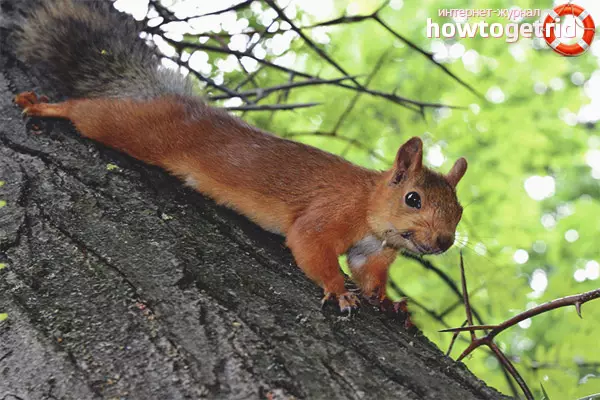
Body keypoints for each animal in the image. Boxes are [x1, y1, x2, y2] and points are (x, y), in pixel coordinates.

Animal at [11, 0, 466, 314]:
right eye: (413, 199)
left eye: (459, 211)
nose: (444, 242)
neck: (371, 206)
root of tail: (177, 102)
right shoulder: (328, 213)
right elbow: (310, 245)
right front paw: (338, 291)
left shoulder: (371, 251)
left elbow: (369, 276)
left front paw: (388, 303)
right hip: (137, 131)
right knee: (90, 114)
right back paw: (46, 107)